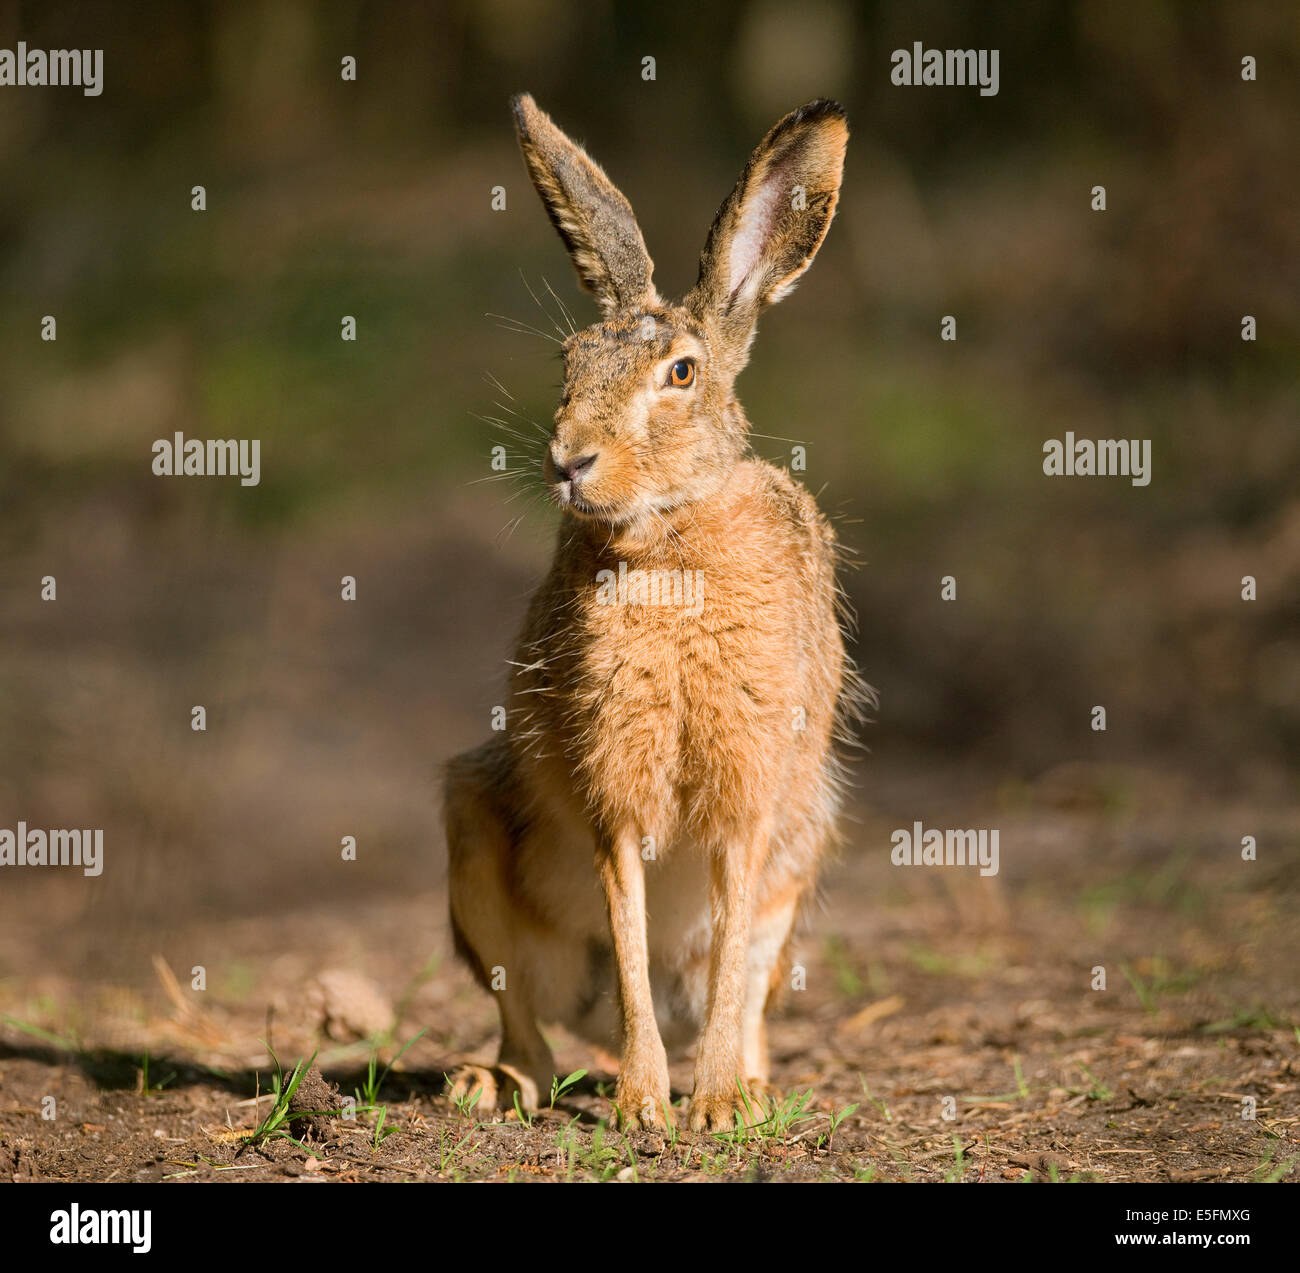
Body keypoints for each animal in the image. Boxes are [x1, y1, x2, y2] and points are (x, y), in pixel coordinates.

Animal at [444, 93, 868, 1132]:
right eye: (570, 360)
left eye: (680, 374)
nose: (570, 460)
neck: (668, 540)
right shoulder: (612, 789)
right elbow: (630, 936)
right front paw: (645, 1104)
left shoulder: (750, 792)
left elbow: (724, 959)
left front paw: (710, 1107)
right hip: (474, 831)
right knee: (531, 1022)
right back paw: (489, 1082)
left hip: (801, 853)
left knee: (742, 991)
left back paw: (749, 1085)